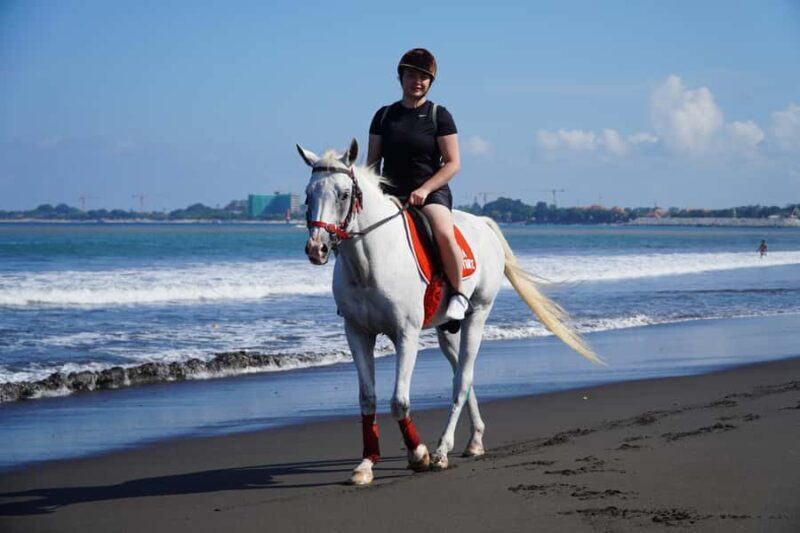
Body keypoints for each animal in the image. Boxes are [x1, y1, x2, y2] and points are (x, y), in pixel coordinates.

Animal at [298, 139, 601, 485]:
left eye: (344, 194)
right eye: (307, 195)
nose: (317, 248)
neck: (370, 261)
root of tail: (484, 223)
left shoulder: (406, 333)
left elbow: (399, 401)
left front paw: (419, 454)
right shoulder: (357, 333)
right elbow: (368, 399)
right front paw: (366, 464)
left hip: (477, 315)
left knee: (462, 379)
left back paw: (442, 451)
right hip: (446, 329)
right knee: (463, 375)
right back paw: (474, 440)